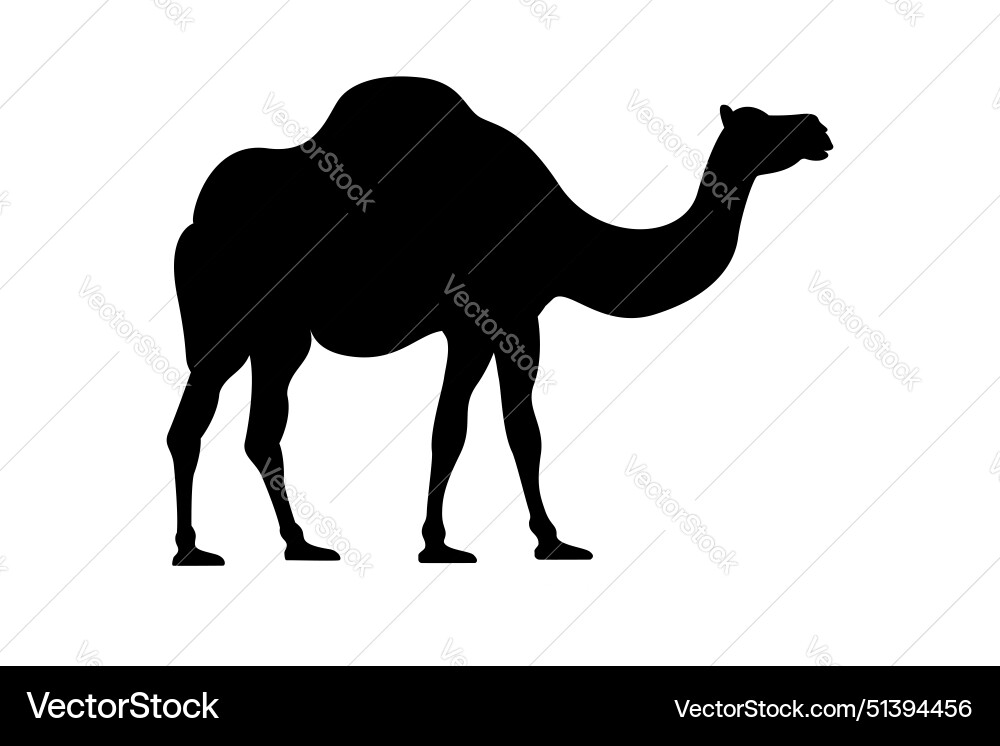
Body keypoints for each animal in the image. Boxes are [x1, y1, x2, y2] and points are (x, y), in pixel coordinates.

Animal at [167, 76, 833, 565]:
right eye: (759, 123)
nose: (819, 128)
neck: (567, 243)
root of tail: (196, 223)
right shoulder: (488, 316)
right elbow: (474, 431)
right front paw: (461, 545)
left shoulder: (508, 320)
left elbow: (499, 431)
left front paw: (530, 540)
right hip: (230, 318)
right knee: (198, 422)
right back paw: (194, 550)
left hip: (279, 333)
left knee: (255, 429)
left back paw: (296, 544)